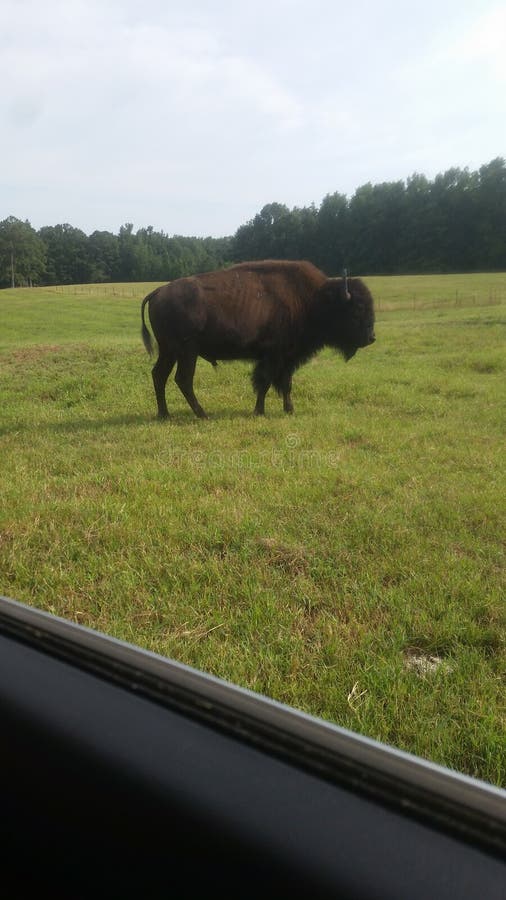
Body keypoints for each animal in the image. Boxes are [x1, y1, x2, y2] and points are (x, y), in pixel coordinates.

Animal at [141, 259, 375, 419]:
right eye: (357, 310)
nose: (371, 338)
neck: (314, 300)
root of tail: (158, 291)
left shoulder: (286, 358)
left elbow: (285, 383)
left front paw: (289, 409)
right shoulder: (274, 356)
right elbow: (265, 382)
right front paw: (259, 411)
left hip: (169, 350)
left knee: (159, 375)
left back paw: (165, 414)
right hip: (187, 351)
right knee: (183, 379)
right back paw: (202, 414)